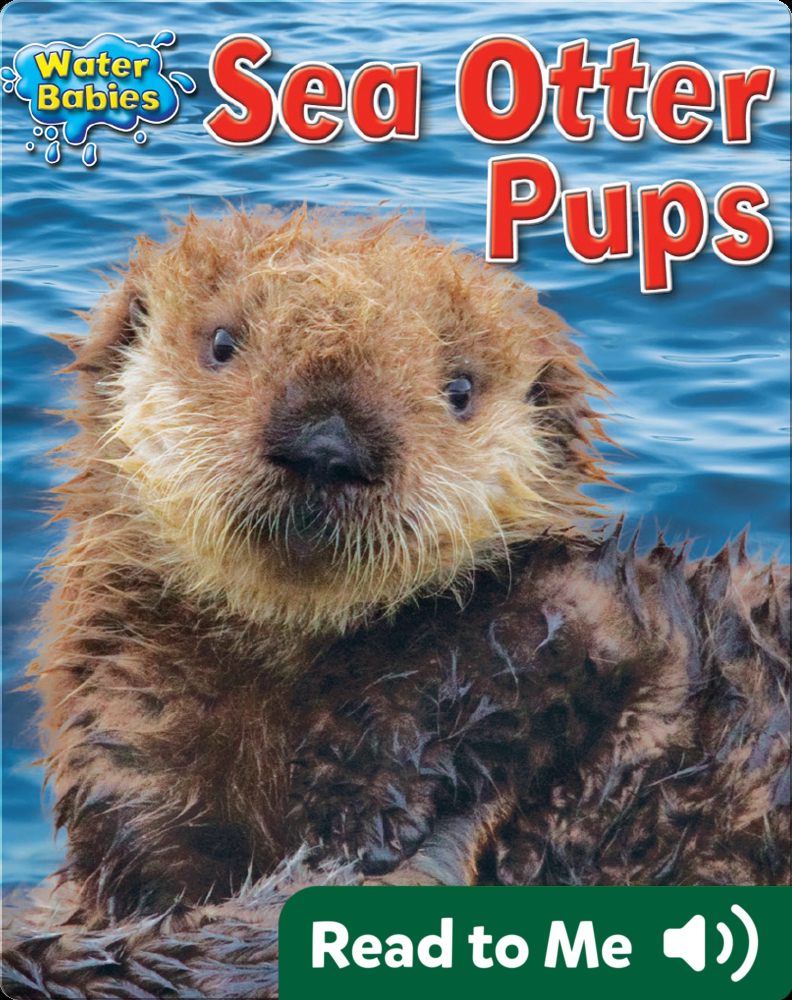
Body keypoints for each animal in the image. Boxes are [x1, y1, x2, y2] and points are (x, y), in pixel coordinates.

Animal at [29, 208, 788, 930]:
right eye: (221, 343)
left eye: (460, 389)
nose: (327, 445)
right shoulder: (130, 701)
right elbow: (153, 853)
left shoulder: (595, 609)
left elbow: (491, 658)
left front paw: (362, 809)